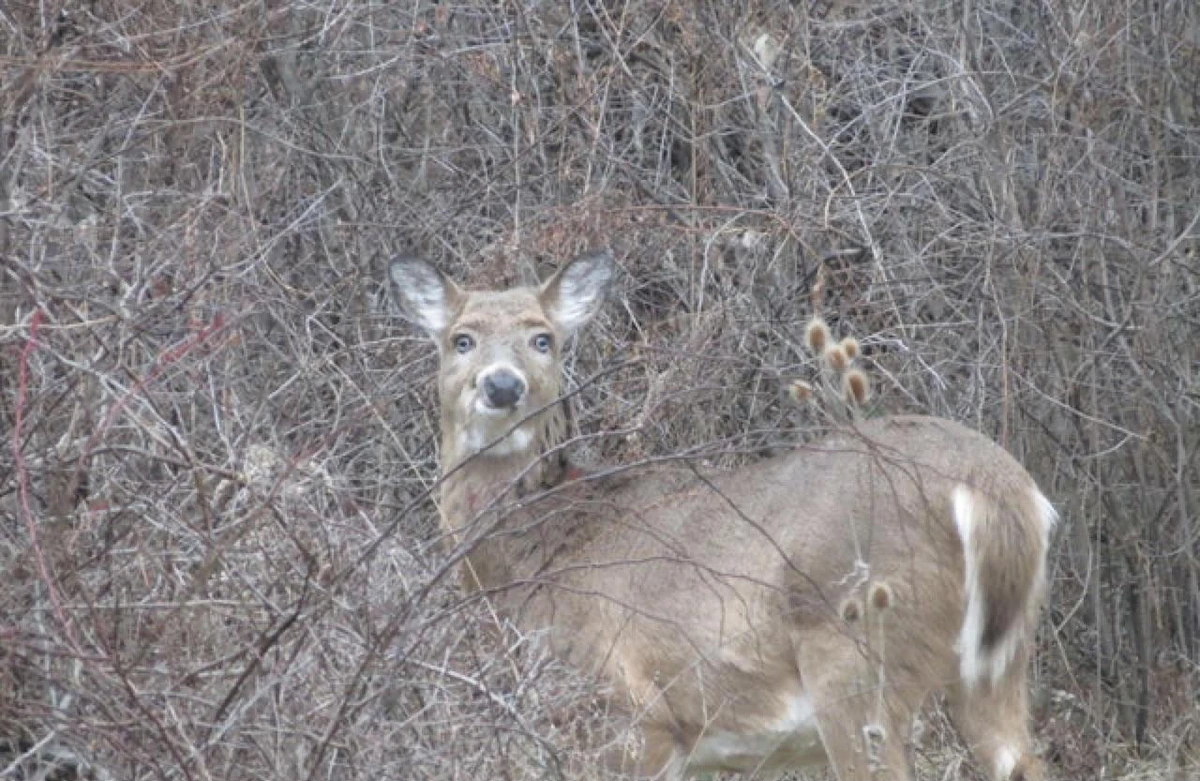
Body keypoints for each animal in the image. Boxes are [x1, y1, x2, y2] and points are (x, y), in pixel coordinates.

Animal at [387, 249, 1056, 781]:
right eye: (461, 339)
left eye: (542, 338)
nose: (502, 386)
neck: (542, 547)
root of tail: (999, 488)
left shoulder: (626, 715)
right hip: (999, 664)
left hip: (857, 656)